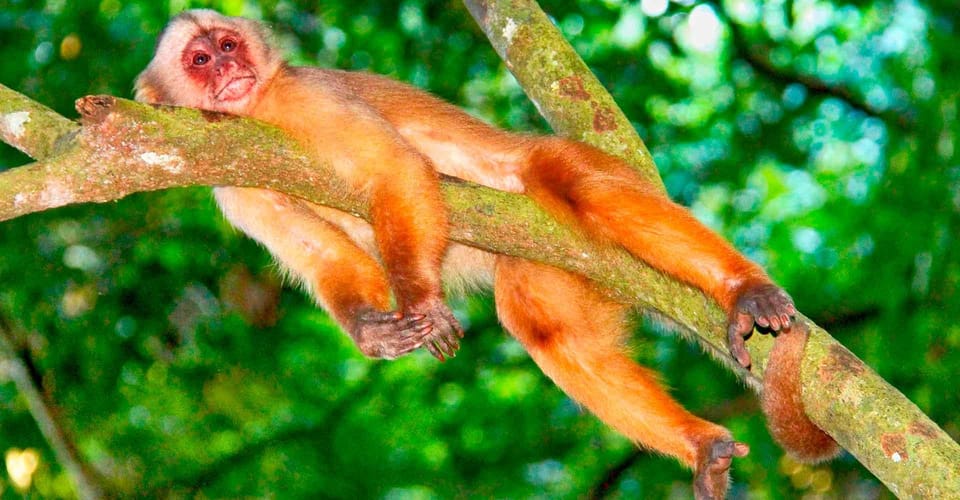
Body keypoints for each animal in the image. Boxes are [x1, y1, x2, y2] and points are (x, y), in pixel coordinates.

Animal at [135, 10, 839, 498]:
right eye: (199, 59)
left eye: (228, 46)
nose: (227, 73)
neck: (257, 114)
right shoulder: (228, 180)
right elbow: (325, 258)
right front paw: (374, 331)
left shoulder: (300, 98)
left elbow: (395, 171)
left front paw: (421, 300)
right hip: (550, 261)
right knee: (543, 323)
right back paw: (700, 445)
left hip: (564, 182)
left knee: (574, 185)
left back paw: (743, 290)